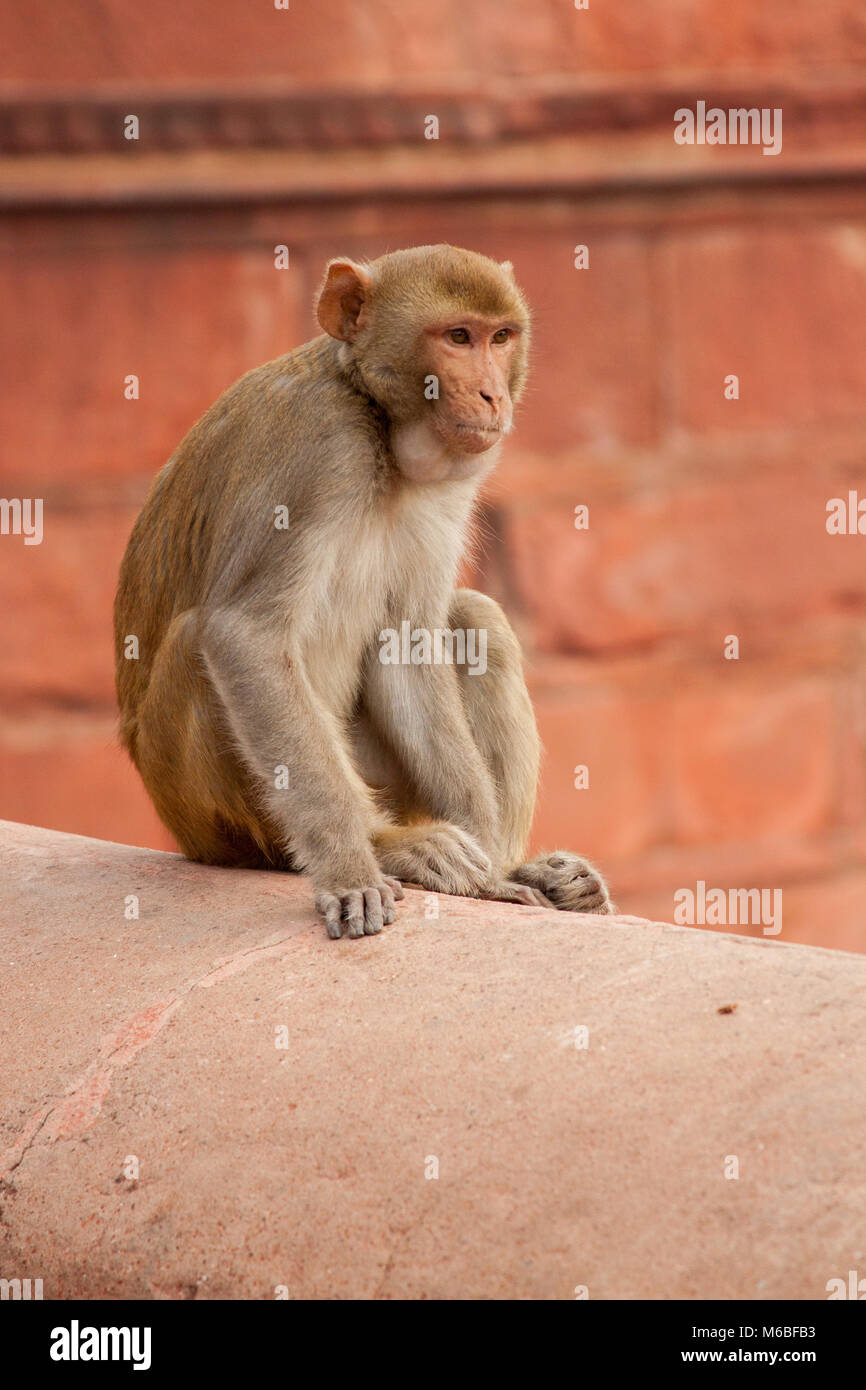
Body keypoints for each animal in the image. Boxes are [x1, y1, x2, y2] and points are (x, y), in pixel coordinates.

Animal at [114, 244, 613, 939]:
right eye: (458, 337)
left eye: (501, 337)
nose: (491, 394)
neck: (376, 420)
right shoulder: (319, 446)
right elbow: (246, 635)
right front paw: (353, 867)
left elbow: (407, 641)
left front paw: (494, 873)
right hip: (205, 817)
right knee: (198, 640)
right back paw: (389, 845)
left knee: (475, 616)